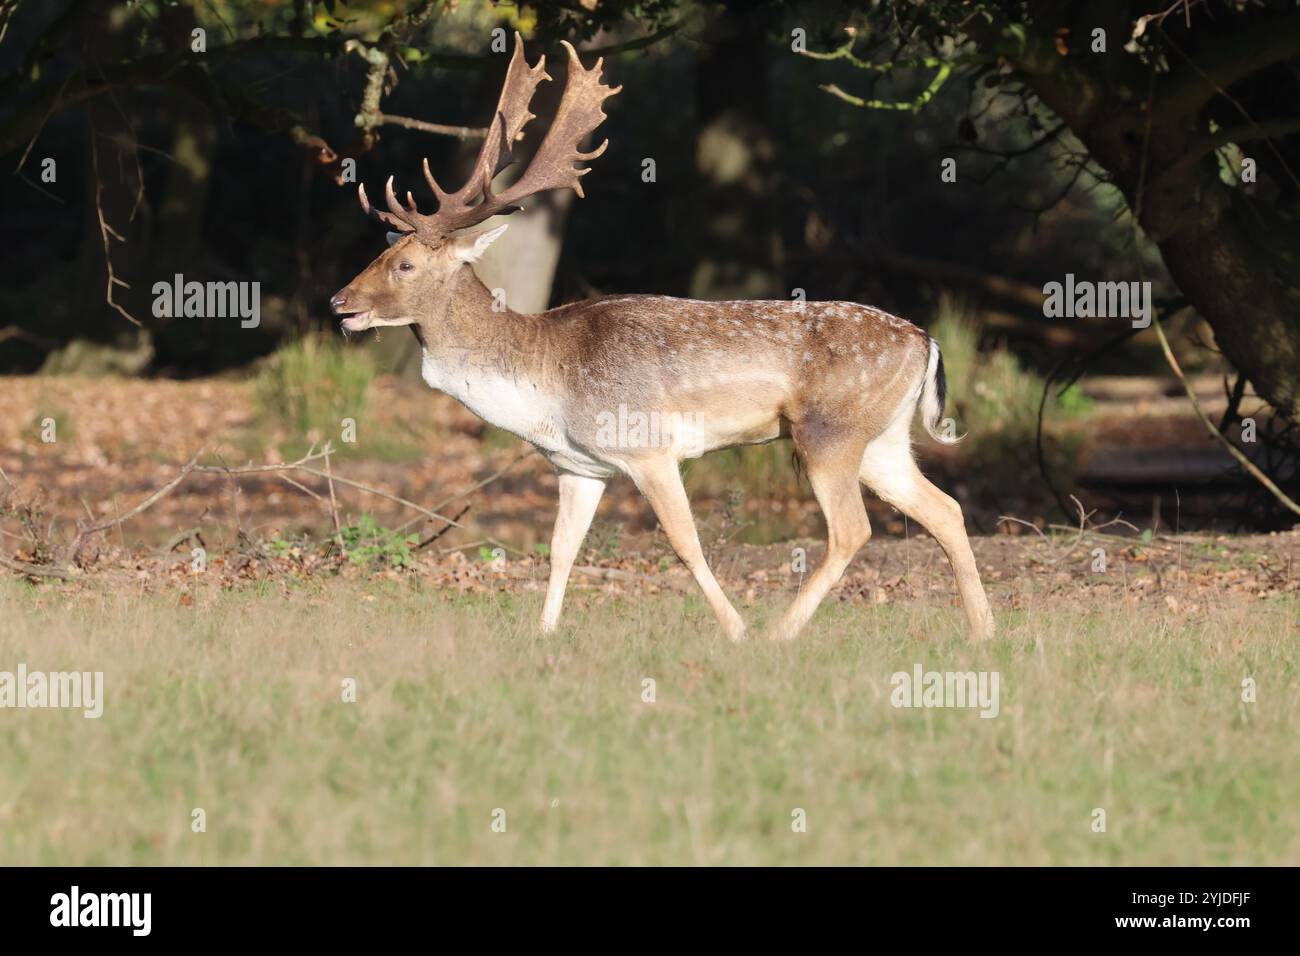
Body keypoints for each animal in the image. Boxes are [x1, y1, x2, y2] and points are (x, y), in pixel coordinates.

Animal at [330, 34, 994, 643]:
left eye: (406, 264)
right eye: (381, 252)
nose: (340, 303)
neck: (543, 383)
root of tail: (928, 342)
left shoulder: (647, 445)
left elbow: (685, 543)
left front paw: (735, 631)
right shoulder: (579, 467)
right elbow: (561, 550)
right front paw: (543, 636)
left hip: (829, 431)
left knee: (853, 529)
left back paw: (779, 634)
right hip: (883, 440)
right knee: (946, 508)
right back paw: (984, 631)